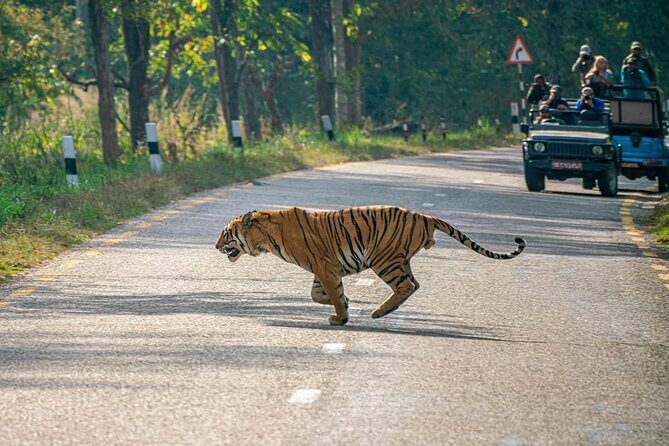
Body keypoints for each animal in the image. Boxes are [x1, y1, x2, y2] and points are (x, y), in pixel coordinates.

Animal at [215, 206, 526, 326]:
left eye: (225, 232)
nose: (216, 246)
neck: (264, 237)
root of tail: (424, 216)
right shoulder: (323, 269)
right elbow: (319, 294)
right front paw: (345, 304)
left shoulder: (323, 266)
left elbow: (329, 294)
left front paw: (341, 317)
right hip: (398, 259)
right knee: (414, 284)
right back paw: (386, 310)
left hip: (384, 259)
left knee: (406, 285)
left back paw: (379, 312)